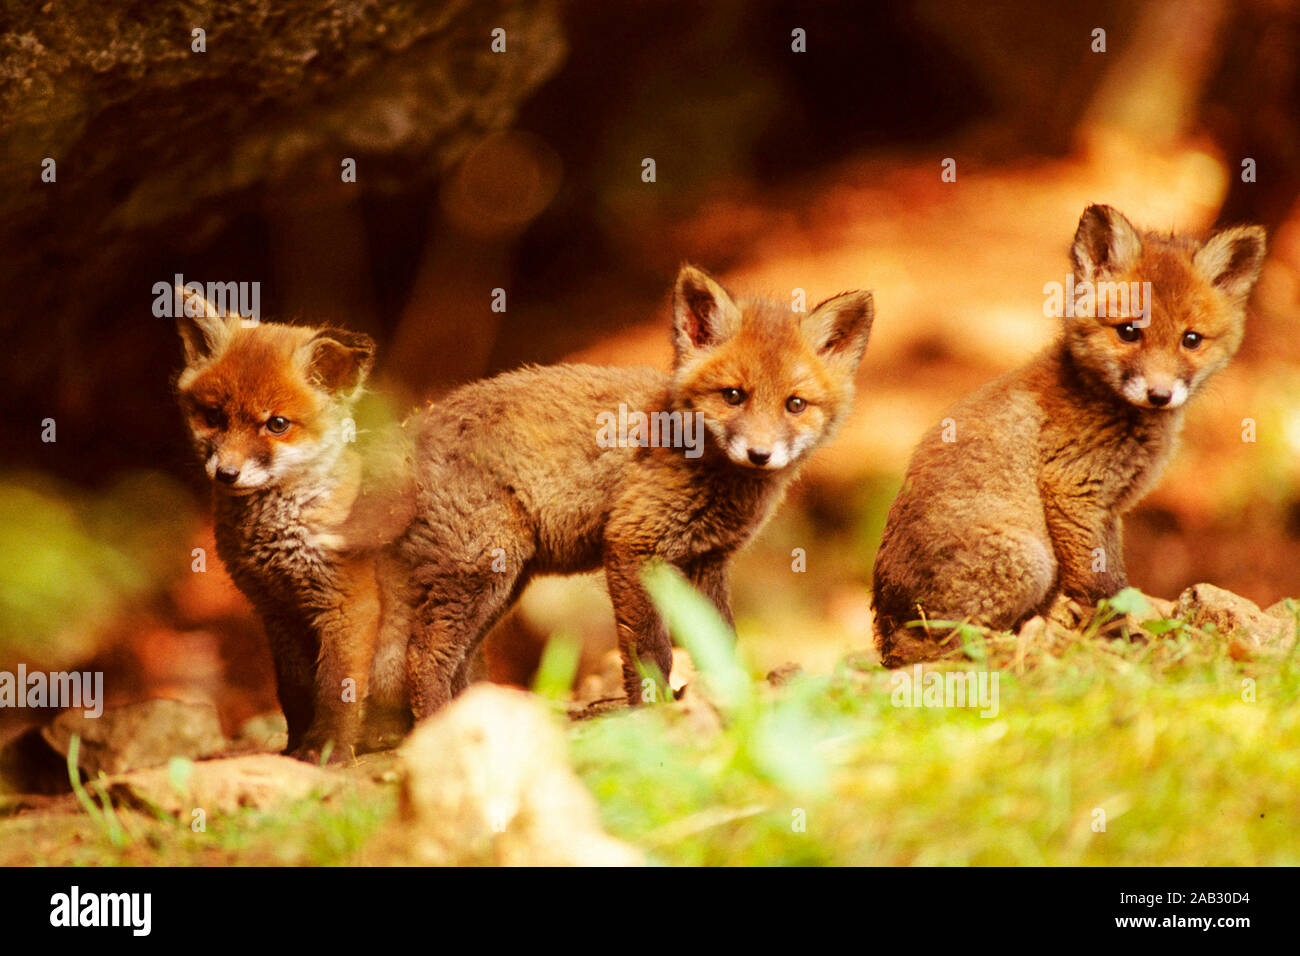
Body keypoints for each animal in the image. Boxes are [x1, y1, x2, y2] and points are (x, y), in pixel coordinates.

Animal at [173, 287, 416, 761]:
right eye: (214, 417)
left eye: (277, 425)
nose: (226, 473)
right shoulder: (275, 611)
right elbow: (295, 690)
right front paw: (295, 748)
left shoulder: (348, 605)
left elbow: (336, 690)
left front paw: (329, 751)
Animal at [398, 265, 874, 714]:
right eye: (733, 395)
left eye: (795, 404)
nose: (760, 454)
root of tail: (415, 426)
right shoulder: (633, 545)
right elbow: (651, 650)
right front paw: (652, 709)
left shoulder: (707, 560)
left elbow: (720, 642)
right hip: (483, 569)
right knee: (424, 655)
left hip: (506, 582)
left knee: (460, 659)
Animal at [872, 204, 1267, 666]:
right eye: (1128, 332)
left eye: (1191, 340)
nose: (1159, 395)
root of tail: (883, 626)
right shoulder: (1073, 490)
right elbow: (1098, 588)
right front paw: (1117, 640)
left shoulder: (1109, 510)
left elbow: (1115, 580)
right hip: (1031, 560)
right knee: (938, 645)